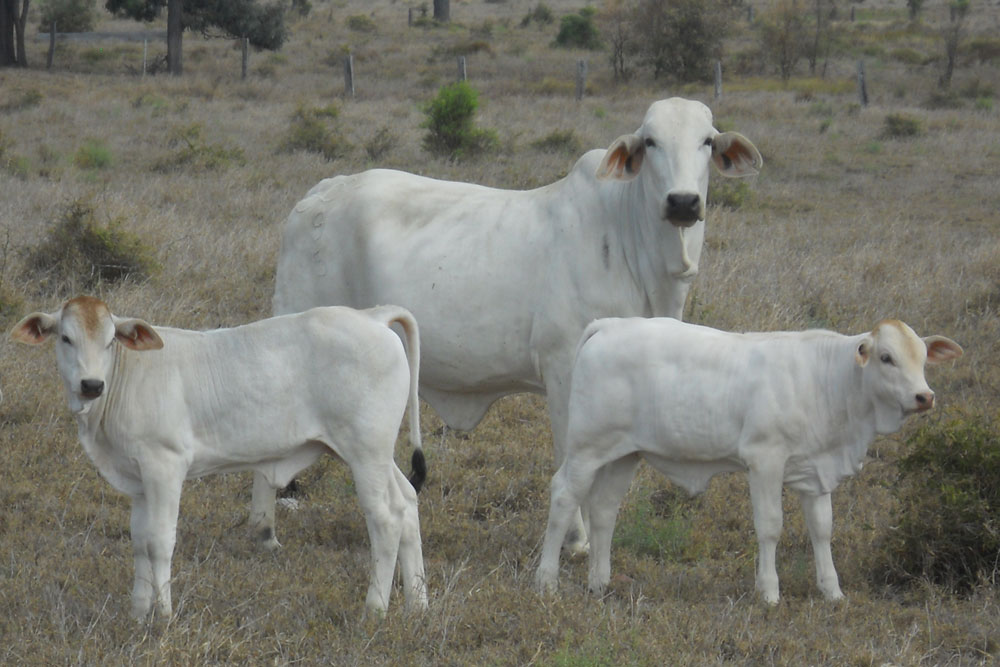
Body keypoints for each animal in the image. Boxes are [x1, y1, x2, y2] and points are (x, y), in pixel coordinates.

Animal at [11, 296, 427, 619]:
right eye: (66, 338)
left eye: (111, 340)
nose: (91, 384)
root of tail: (370, 315)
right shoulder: (140, 481)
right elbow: (140, 541)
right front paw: (138, 613)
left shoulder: (165, 466)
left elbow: (160, 540)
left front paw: (163, 616)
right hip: (374, 454)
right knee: (406, 503)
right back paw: (417, 603)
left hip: (366, 452)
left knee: (385, 519)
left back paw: (375, 609)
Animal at [258, 97, 763, 553]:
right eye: (652, 141)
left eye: (706, 140)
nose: (682, 202)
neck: (631, 243)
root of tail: (321, 192)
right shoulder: (565, 369)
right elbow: (571, 459)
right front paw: (576, 541)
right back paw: (265, 533)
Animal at [536, 317, 963, 604]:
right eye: (887, 358)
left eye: (923, 359)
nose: (925, 396)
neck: (829, 381)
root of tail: (611, 324)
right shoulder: (765, 459)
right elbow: (770, 526)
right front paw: (769, 591)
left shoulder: (815, 472)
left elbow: (822, 529)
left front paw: (832, 590)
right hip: (586, 448)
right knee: (564, 496)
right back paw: (546, 580)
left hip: (624, 454)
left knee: (604, 509)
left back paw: (600, 581)